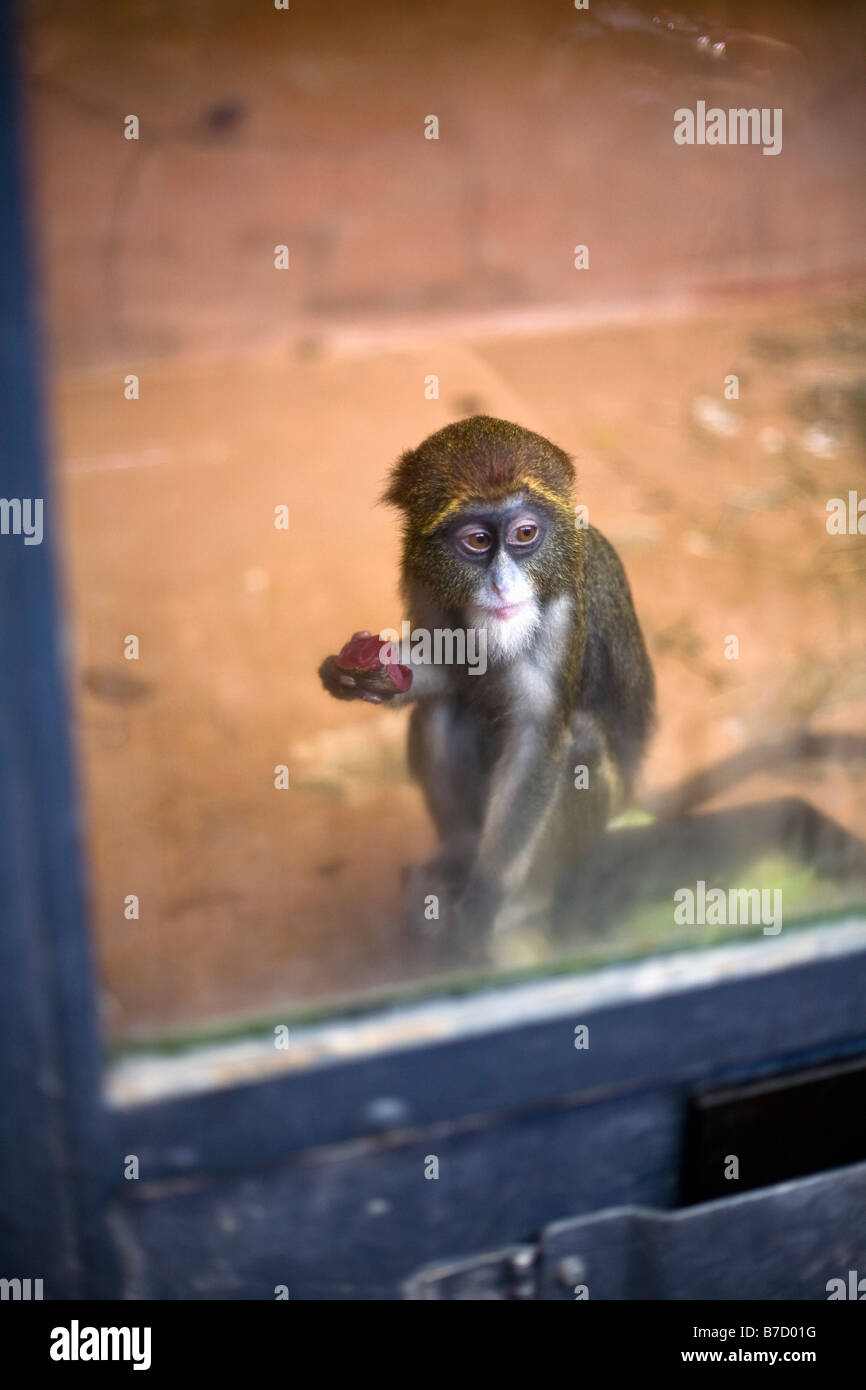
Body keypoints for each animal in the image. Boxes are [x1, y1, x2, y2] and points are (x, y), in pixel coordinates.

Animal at [318, 415, 655, 947]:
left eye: (524, 533)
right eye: (478, 541)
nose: (502, 584)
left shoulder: (564, 607)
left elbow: (537, 737)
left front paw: (486, 896)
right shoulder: (422, 579)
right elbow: (451, 671)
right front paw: (360, 676)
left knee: (580, 742)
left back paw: (527, 897)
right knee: (444, 712)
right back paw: (456, 855)